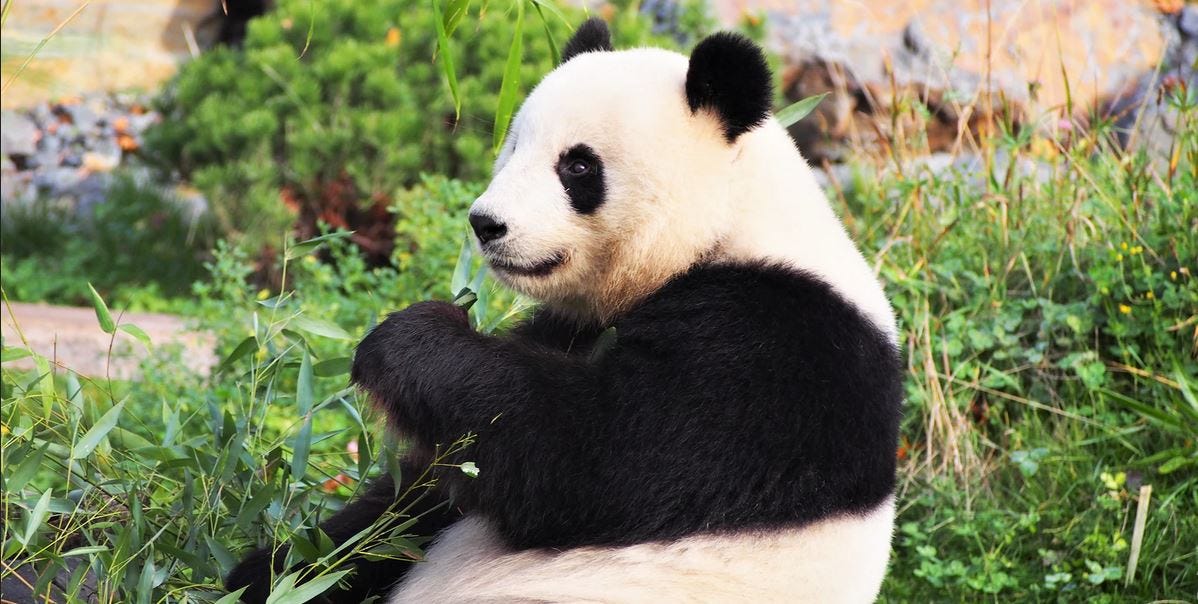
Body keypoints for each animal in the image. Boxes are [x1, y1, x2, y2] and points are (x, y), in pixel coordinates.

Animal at [228, 18, 902, 604]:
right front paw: (268, 571)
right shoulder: (575, 326)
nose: (486, 224)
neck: (728, 225)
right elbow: (414, 504)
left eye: (578, 165)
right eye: (512, 145)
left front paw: (409, 337)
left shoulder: (779, 348)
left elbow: (595, 455)